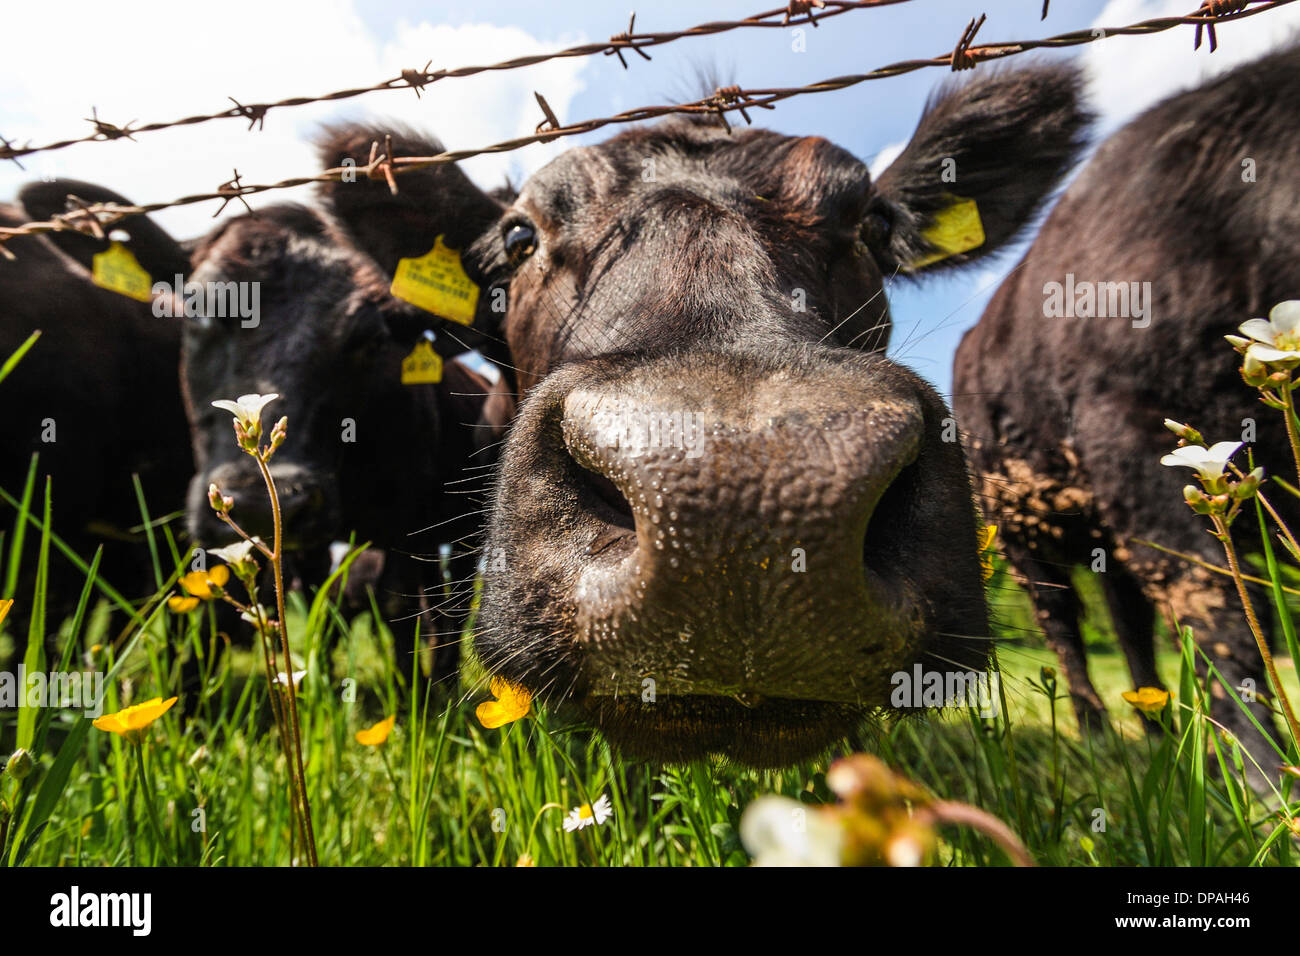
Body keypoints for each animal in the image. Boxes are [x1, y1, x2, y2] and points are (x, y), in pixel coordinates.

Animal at [954, 44, 1300, 779]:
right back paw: (1095, 731)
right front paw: (1262, 779)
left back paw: (1156, 728)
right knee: (1063, 625)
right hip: (1020, 533)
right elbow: (1218, 605)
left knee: (1127, 618)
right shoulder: (1128, 434)